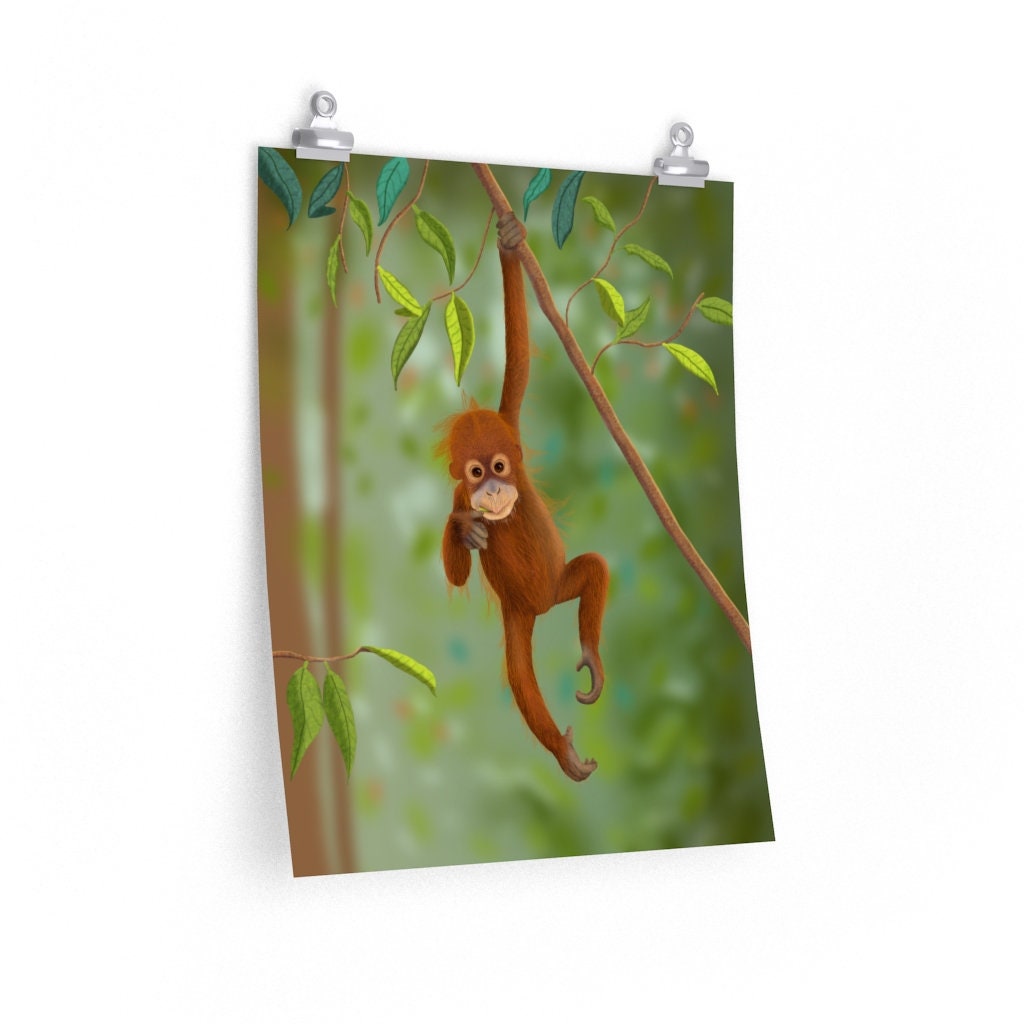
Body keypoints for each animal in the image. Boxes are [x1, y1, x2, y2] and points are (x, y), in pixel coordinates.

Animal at [438, 211, 609, 782]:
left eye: (498, 465)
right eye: (474, 473)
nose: (491, 487)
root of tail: (542, 605)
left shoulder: (507, 420)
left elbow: (519, 356)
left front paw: (510, 246)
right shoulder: (455, 494)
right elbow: (456, 572)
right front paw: (464, 530)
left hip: (559, 584)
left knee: (594, 569)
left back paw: (591, 656)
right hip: (518, 616)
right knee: (519, 677)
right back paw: (561, 749)